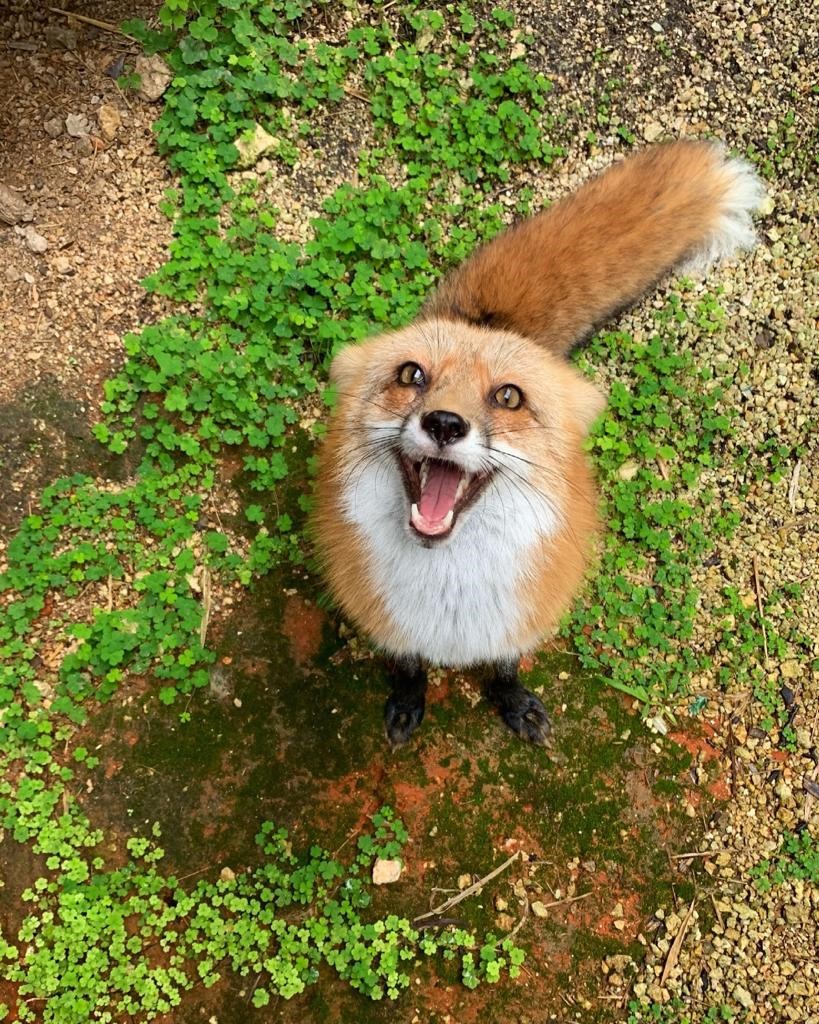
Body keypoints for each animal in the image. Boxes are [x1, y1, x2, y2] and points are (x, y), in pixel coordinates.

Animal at [313, 140, 764, 749]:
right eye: (412, 375)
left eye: (507, 396)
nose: (445, 424)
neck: (449, 596)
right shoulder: (390, 626)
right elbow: (408, 668)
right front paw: (408, 702)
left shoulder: (517, 626)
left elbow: (505, 670)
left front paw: (514, 704)